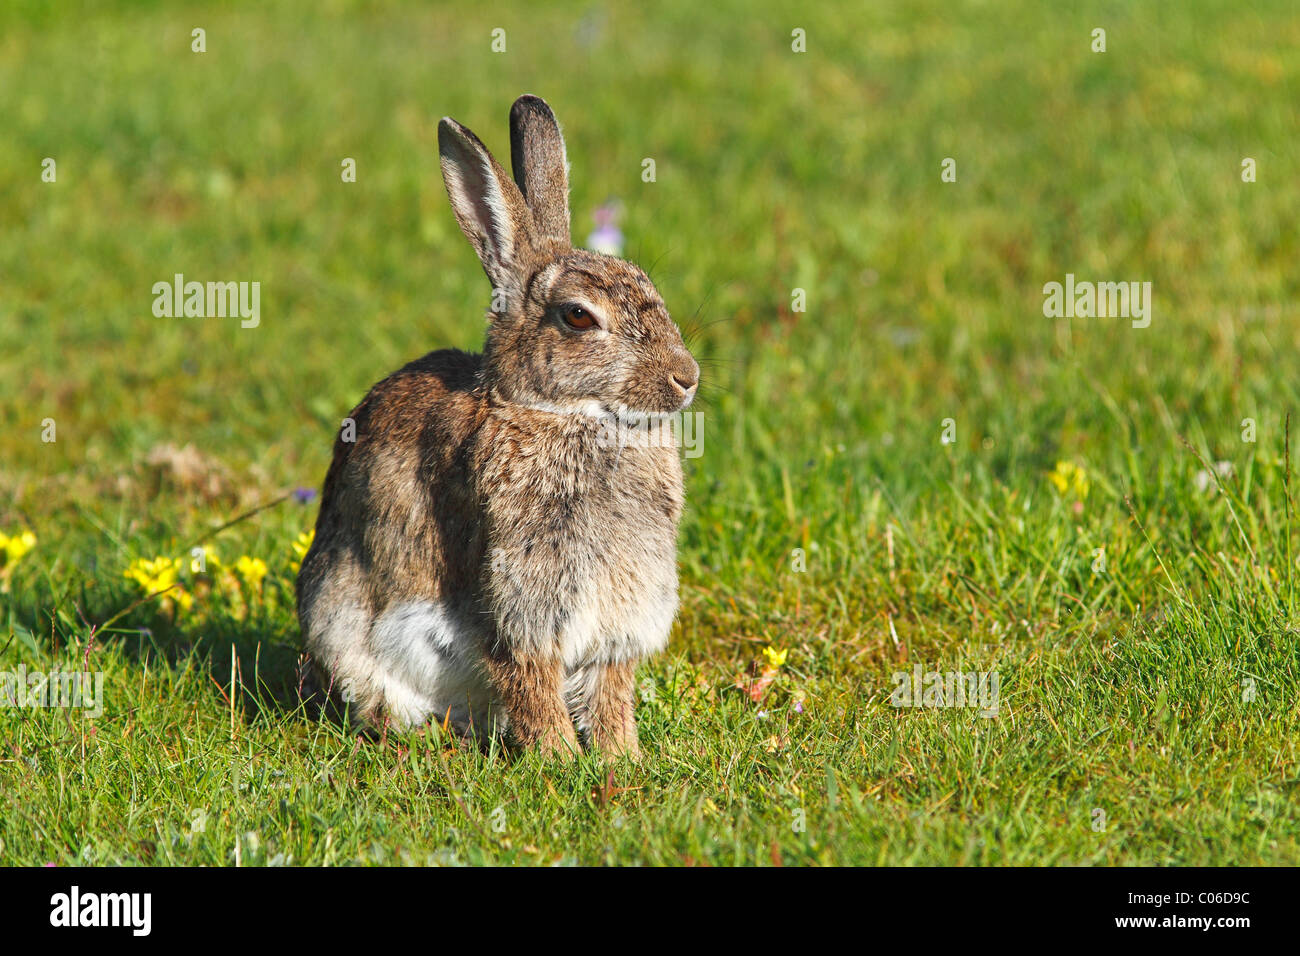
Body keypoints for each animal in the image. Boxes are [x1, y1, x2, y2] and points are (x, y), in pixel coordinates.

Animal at [296, 94, 700, 759]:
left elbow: (609, 688)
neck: (563, 414)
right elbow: (529, 676)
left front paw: (621, 755)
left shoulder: (620, 617)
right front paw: (559, 757)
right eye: (578, 317)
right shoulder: (518, 600)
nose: (686, 377)